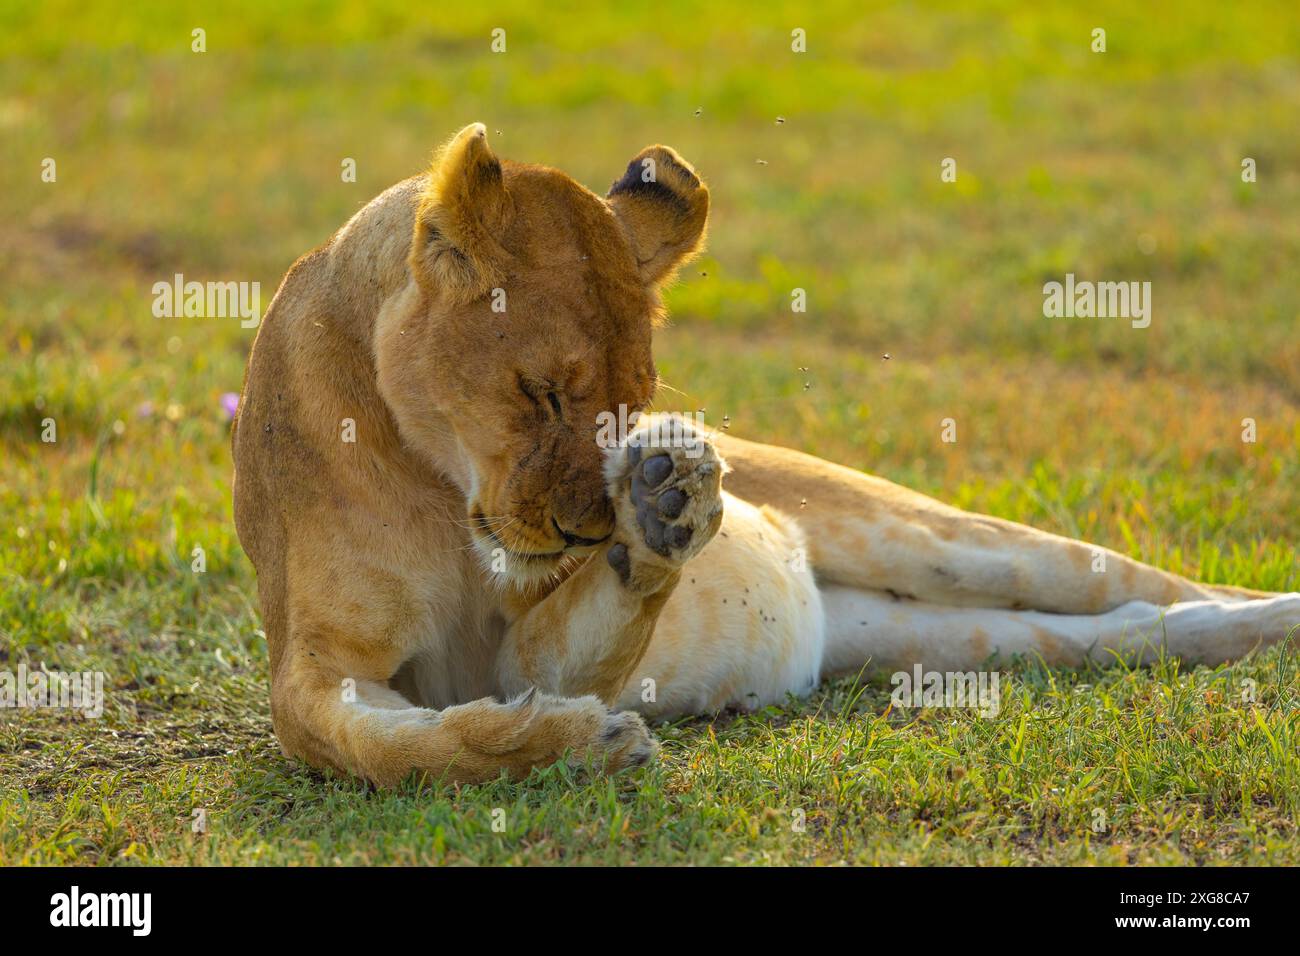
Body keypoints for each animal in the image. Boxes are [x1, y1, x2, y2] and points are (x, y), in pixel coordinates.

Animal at [232, 123, 1300, 786]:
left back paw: (1270, 613)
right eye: (542, 392)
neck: (444, 488)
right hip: (934, 639)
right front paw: (569, 742)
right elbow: (380, 748)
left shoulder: (530, 637)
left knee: (1129, 582)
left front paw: (666, 509)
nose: (585, 531)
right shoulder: (324, 662)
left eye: (632, 406)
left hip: (923, 532)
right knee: (1118, 633)